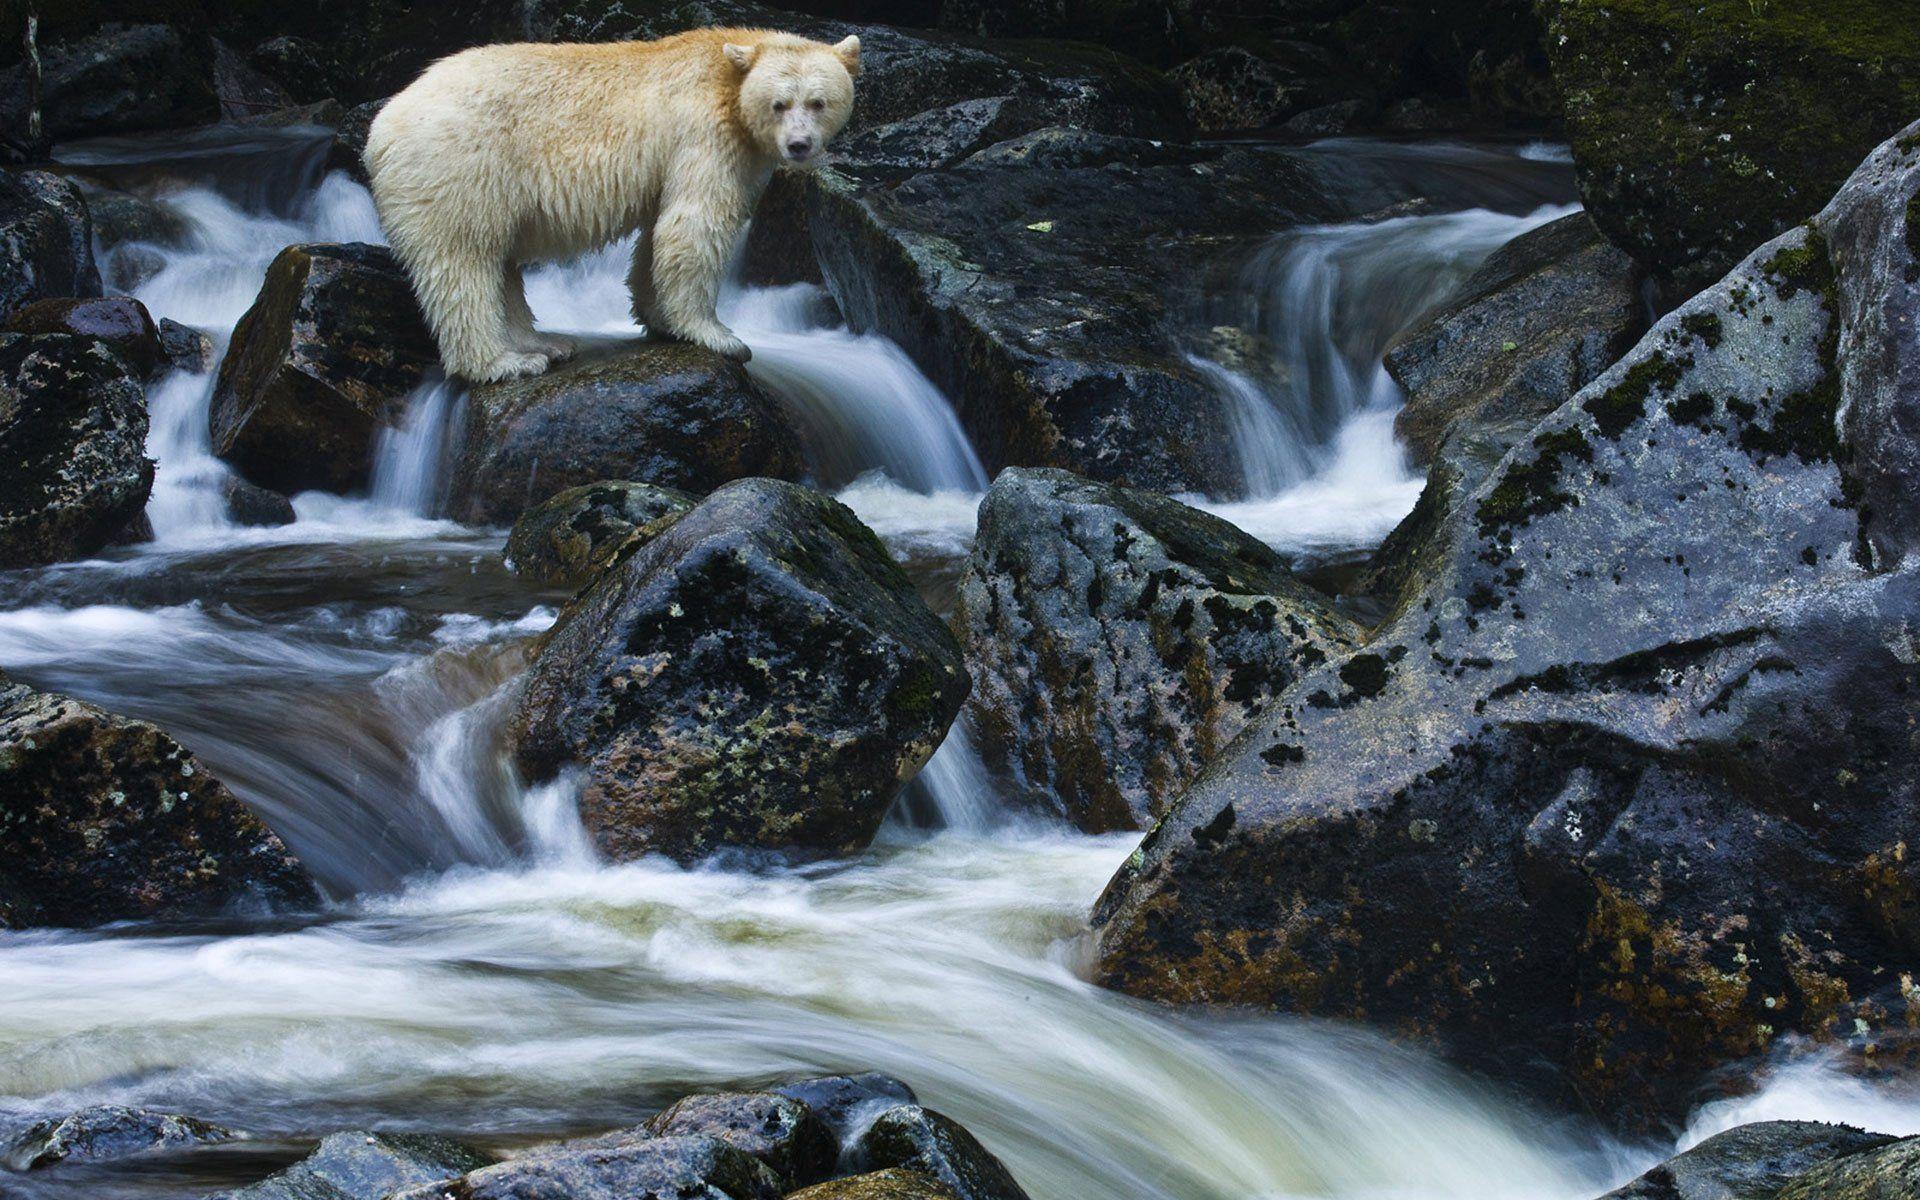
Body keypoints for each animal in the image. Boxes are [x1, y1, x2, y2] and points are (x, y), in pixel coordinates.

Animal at [363, 28, 860, 383]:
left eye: (819, 102)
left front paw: (659, 317)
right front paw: (719, 336)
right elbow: (694, 224)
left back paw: (542, 343)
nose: (799, 145)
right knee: (464, 260)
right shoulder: (706, 134)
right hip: (459, 166)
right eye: (780, 104)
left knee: (500, 262)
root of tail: (381, 129)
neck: (727, 75)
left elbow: (659, 231)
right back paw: (501, 362)